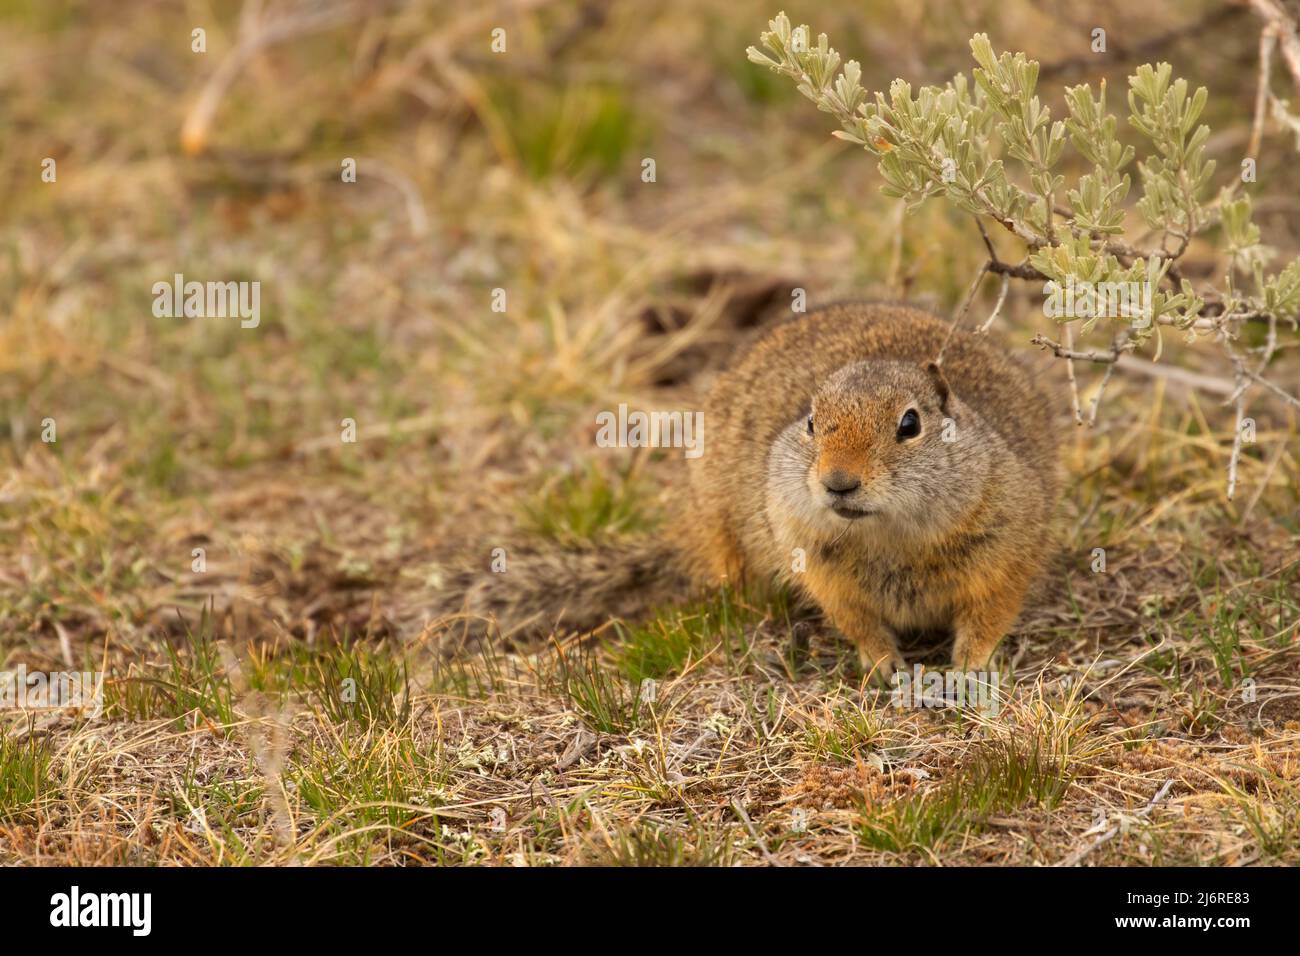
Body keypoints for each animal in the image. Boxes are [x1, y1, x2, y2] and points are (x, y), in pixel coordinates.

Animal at [434, 302, 1060, 681]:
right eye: (811, 423)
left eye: (910, 424)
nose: (837, 483)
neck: (890, 535)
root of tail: (690, 527)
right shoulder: (817, 561)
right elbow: (857, 619)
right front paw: (885, 664)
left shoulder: (1010, 539)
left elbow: (991, 613)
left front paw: (970, 668)